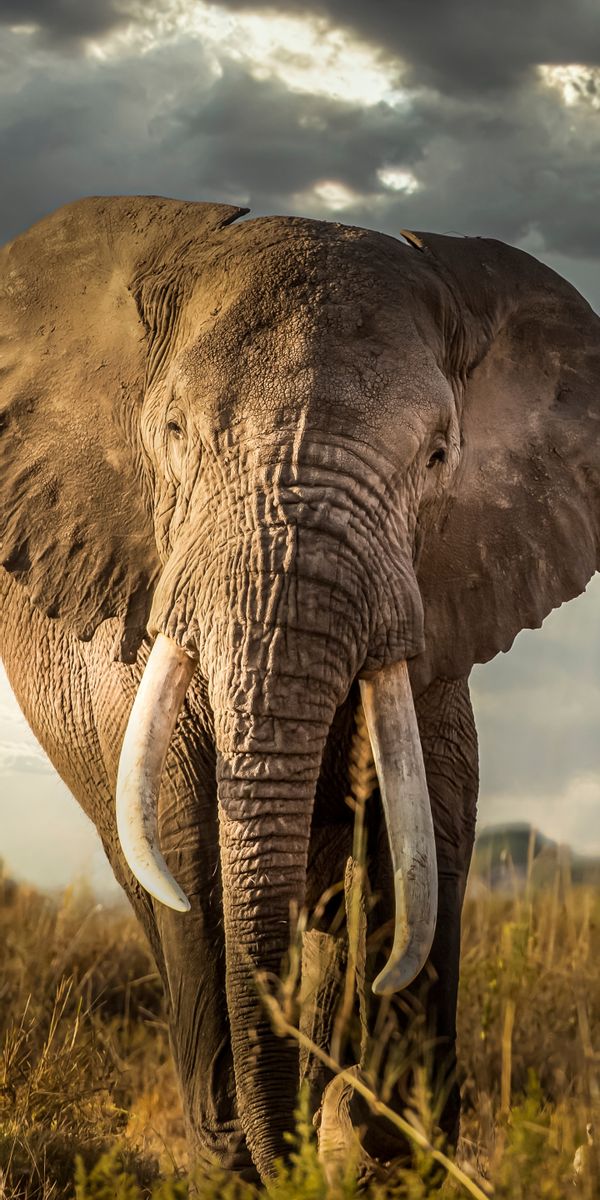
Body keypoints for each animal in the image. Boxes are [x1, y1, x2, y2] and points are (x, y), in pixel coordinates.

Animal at [0, 195, 598, 1183]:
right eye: (172, 432)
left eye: (438, 455)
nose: (278, 1153)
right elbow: (185, 834)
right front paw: (243, 1161)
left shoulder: (442, 591)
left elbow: (429, 818)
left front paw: (388, 1144)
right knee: (150, 877)